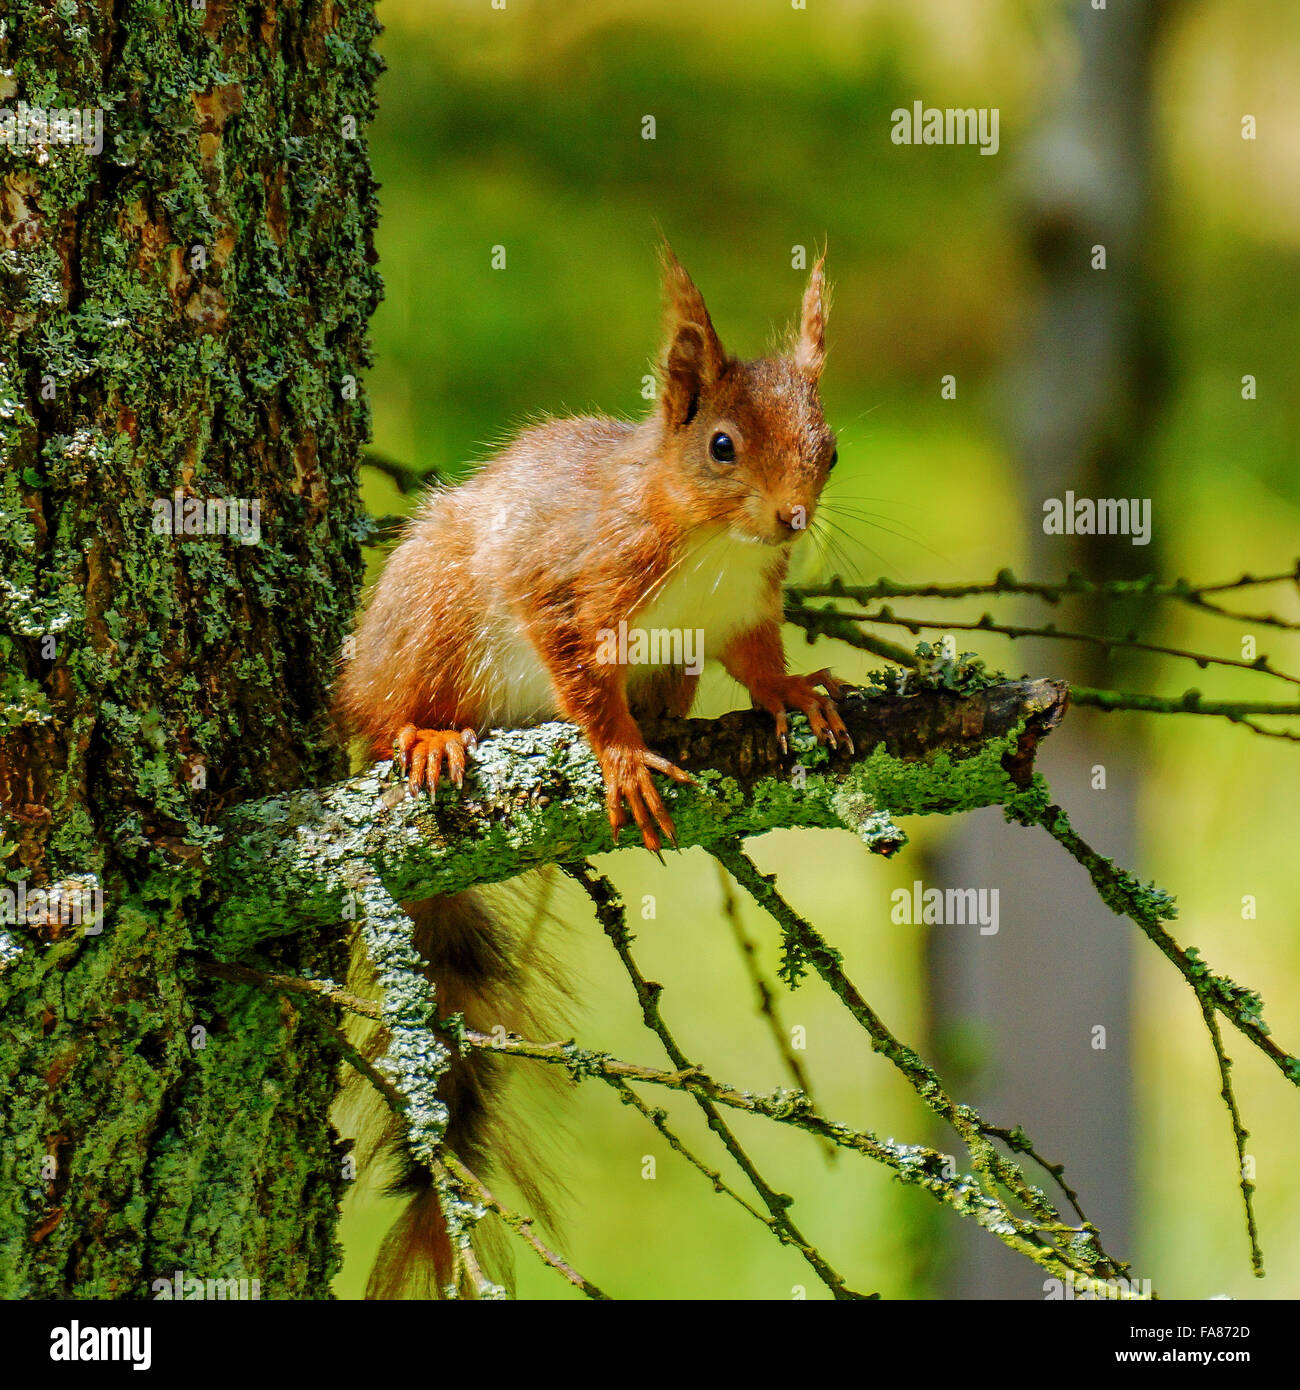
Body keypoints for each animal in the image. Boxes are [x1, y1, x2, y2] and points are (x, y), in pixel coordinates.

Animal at [337, 245, 850, 1297]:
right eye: (722, 446)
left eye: (831, 448)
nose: (792, 520)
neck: (708, 539)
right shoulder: (571, 583)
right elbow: (576, 669)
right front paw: (619, 756)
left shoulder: (738, 611)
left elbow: (759, 662)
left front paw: (799, 692)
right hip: (431, 617)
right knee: (382, 709)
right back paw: (422, 735)